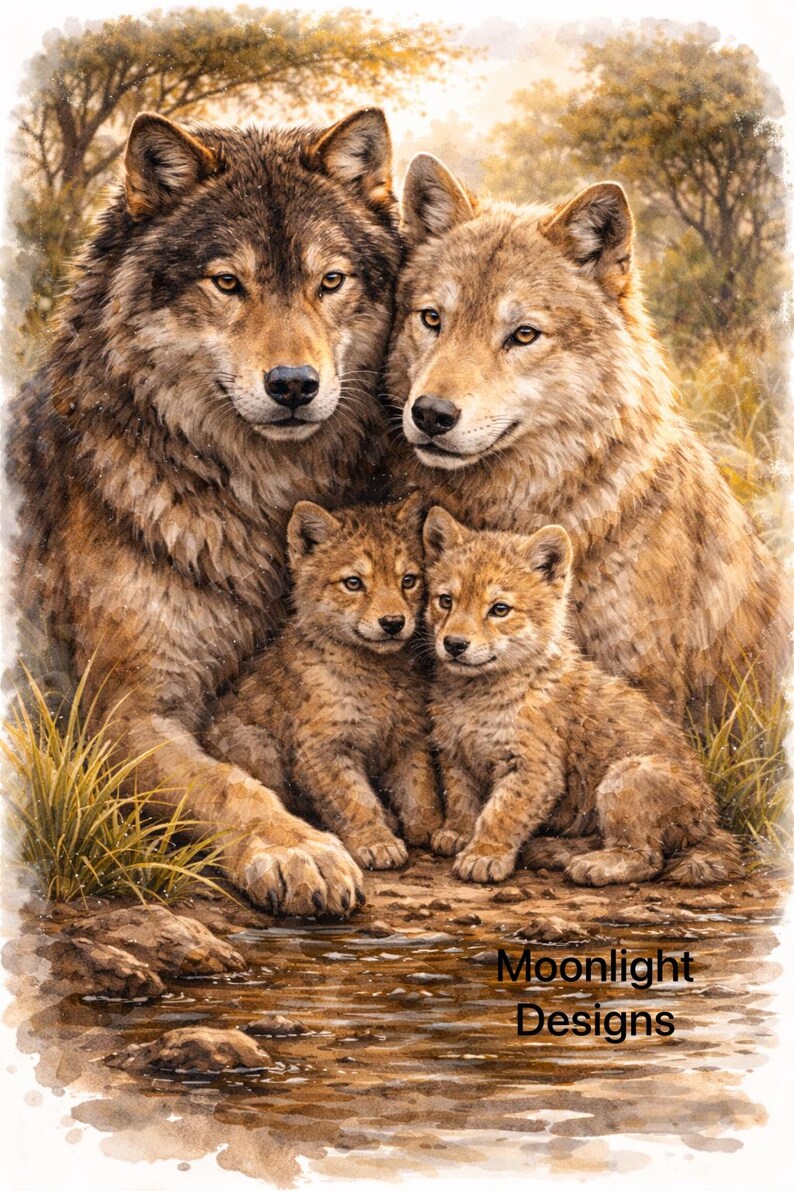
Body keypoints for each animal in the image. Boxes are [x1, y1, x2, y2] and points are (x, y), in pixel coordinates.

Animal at [10, 108, 402, 916]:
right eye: (228, 283)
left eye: (330, 281)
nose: (294, 384)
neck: (261, 504)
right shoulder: (116, 715)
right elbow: (227, 783)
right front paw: (298, 850)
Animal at [205, 494, 442, 872]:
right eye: (353, 583)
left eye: (409, 580)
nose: (393, 623)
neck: (378, 671)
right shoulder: (322, 747)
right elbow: (352, 799)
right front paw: (376, 842)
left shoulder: (408, 737)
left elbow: (420, 787)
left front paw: (432, 828)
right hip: (255, 743)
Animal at [423, 507, 743, 886]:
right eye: (446, 601)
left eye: (500, 609)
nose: (454, 644)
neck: (475, 694)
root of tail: (708, 821)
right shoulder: (455, 755)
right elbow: (460, 799)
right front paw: (457, 833)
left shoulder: (533, 769)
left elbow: (501, 813)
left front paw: (484, 855)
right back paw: (554, 850)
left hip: (630, 775)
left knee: (645, 856)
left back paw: (593, 865)